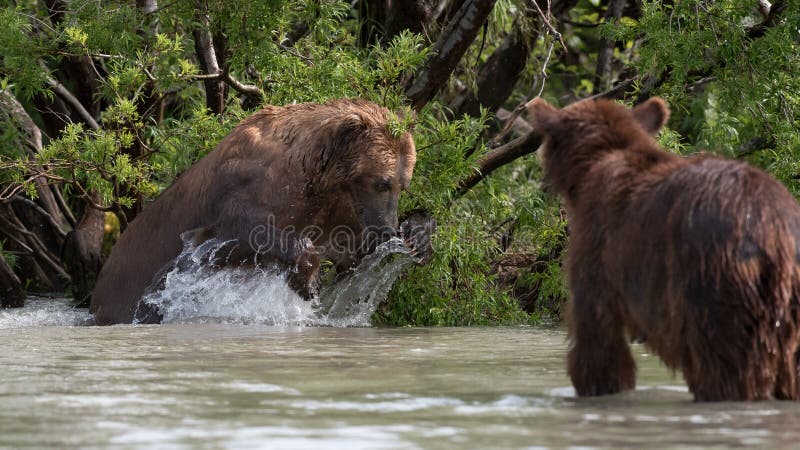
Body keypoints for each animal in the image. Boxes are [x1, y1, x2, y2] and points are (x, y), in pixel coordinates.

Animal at [90, 99, 418, 325]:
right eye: (382, 182)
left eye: (404, 184)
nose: (388, 228)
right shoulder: (246, 189)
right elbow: (249, 228)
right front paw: (308, 283)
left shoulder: (326, 205)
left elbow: (346, 245)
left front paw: (417, 233)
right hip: (125, 288)